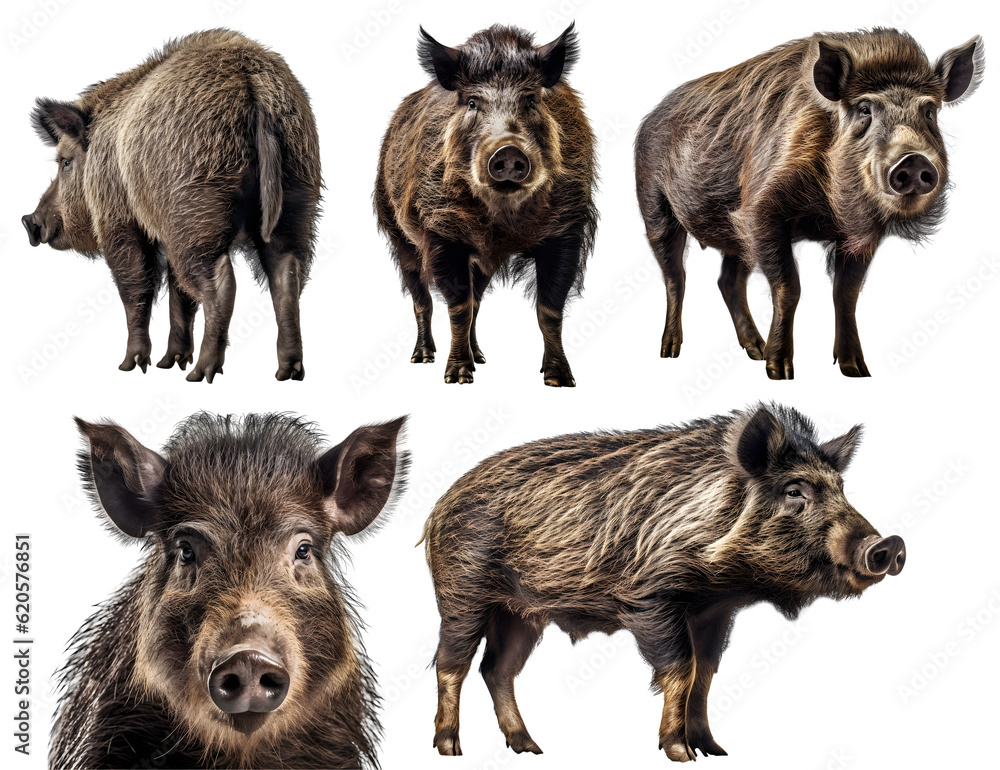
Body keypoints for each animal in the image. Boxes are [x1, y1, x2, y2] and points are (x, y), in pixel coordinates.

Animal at [22, 29, 322, 382]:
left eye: (65, 162)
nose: (29, 221)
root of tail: (255, 89)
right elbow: (179, 296)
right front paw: (168, 362)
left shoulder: (119, 222)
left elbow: (136, 289)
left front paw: (131, 366)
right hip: (298, 195)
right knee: (286, 274)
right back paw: (288, 372)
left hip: (195, 211)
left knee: (222, 282)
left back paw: (200, 373)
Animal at [375, 24, 597, 386]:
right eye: (472, 102)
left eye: (531, 99)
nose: (507, 150)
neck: (502, 221)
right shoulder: (442, 233)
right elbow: (458, 307)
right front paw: (458, 378)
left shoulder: (567, 230)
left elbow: (549, 310)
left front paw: (561, 380)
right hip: (398, 235)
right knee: (422, 300)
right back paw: (423, 358)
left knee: (478, 302)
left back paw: (481, 357)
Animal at [422, 404, 905, 761]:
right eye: (794, 491)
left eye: (841, 488)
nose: (889, 545)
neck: (723, 578)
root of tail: (438, 506)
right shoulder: (651, 596)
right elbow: (680, 669)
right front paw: (680, 752)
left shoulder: (715, 612)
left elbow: (705, 673)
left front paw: (715, 750)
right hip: (461, 591)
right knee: (452, 662)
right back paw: (450, 748)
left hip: (522, 614)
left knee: (497, 668)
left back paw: (530, 748)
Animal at [635, 29, 983, 379]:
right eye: (865, 109)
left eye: (929, 112)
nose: (912, 160)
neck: (826, 210)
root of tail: (650, 116)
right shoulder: (760, 212)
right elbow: (789, 288)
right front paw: (780, 372)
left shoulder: (859, 236)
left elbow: (846, 293)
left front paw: (857, 370)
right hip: (654, 207)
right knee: (675, 276)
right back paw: (670, 351)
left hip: (735, 236)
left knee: (728, 280)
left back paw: (755, 350)